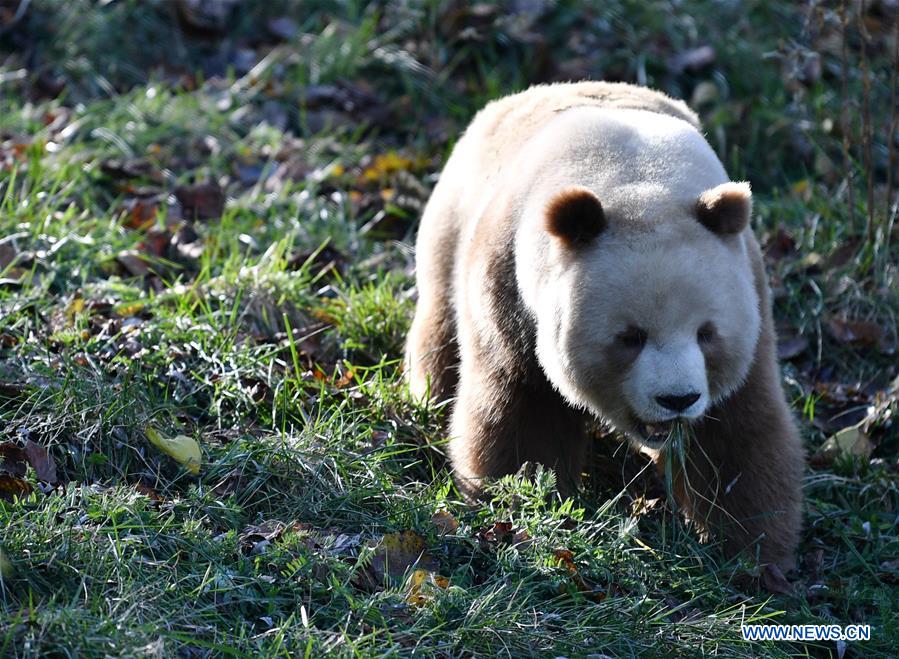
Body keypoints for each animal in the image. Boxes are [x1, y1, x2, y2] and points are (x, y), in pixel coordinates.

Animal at [405, 81, 805, 570]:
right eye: (630, 337)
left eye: (706, 333)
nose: (677, 399)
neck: (636, 180)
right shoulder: (511, 283)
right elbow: (523, 409)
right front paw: (520, 504)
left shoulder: (749, 287)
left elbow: (736, 434)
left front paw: (752, 554)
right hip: (452, 224)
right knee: (441, 323)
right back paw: (431, 393)